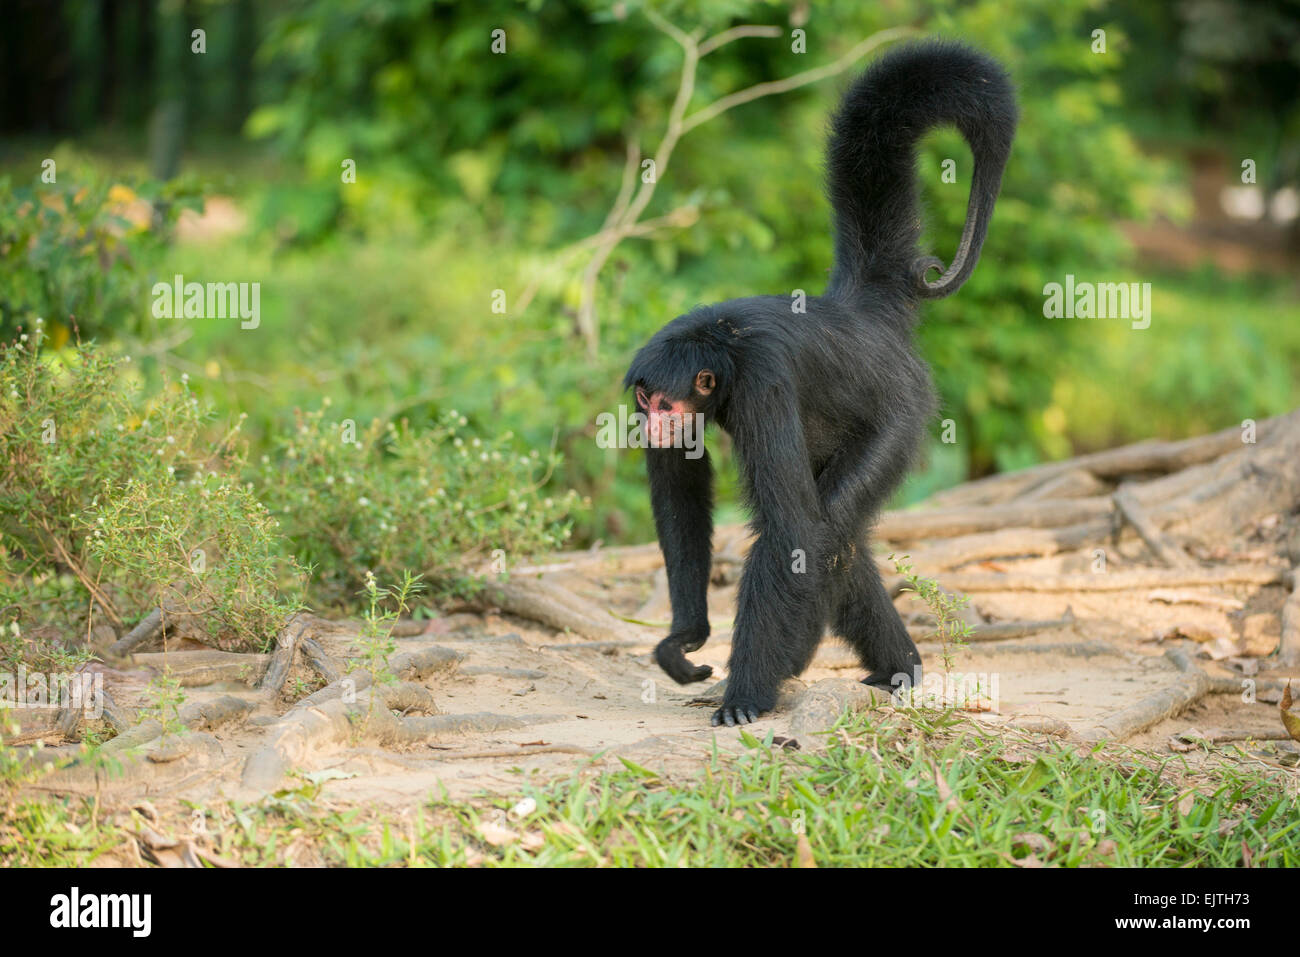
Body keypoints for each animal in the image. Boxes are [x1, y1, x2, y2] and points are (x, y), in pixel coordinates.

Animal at [623, 40, 1017, 726]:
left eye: (666, 402)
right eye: (647, 402)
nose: (653, 422)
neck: (722, 344)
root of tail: (862, 313)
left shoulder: (764, 384)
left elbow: (793, 532)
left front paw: (746, 694)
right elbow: (683, 493)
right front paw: (685, 639)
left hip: (901, 413)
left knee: (825, 524)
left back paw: (803, 662)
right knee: (844, 539)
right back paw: (898, 667)